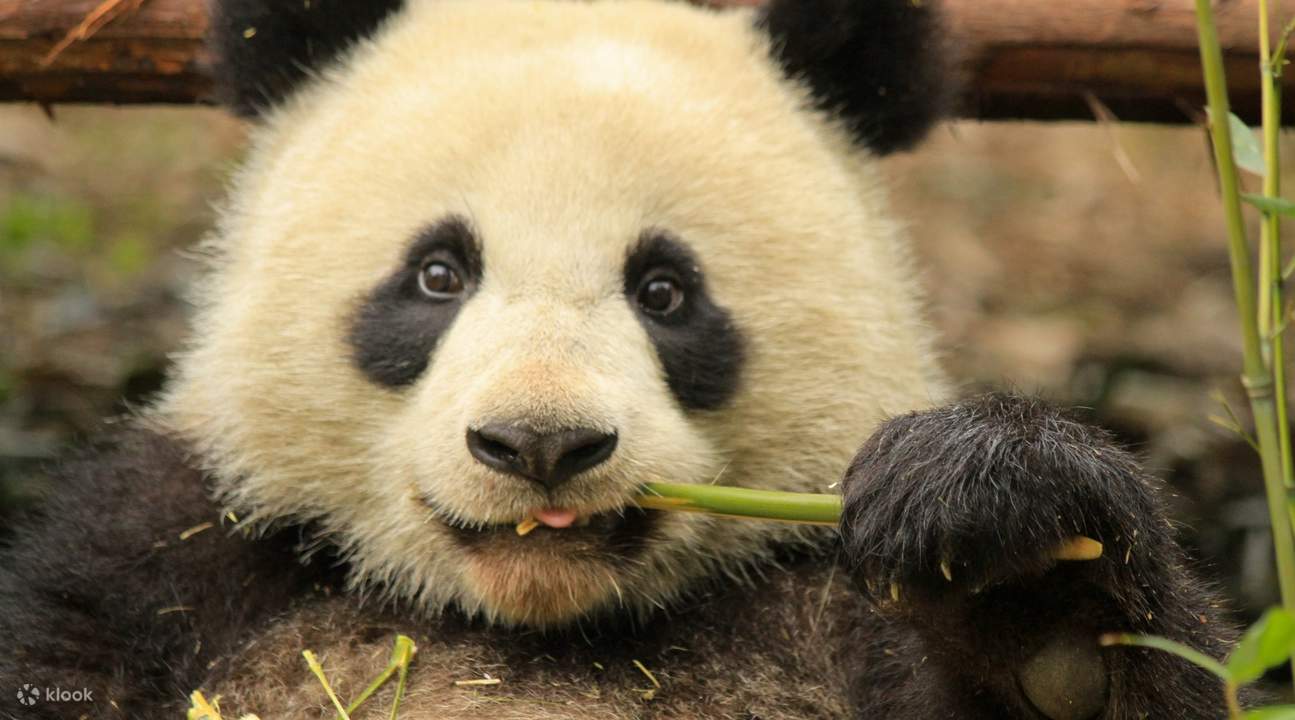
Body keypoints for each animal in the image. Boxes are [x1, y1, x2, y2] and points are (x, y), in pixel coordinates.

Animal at [0, 0, 1244, 718]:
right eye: (437, 274)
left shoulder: (813, 603)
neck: (530, 623)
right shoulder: (166, 566)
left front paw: (1008, 548)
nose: (539, 445)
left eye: (663, 292)